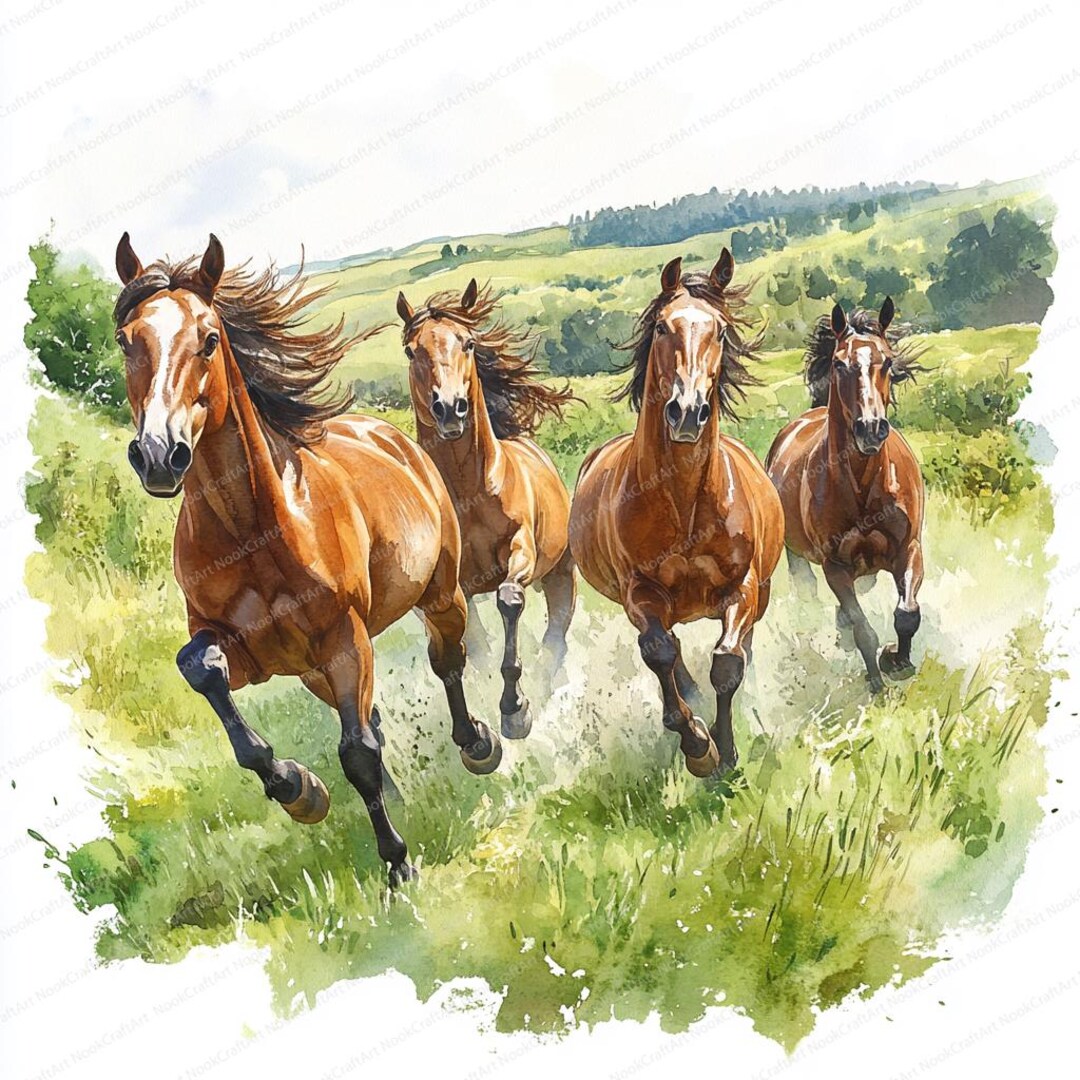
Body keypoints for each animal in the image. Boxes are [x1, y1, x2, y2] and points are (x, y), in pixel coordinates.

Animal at [113, 232, 503, 887]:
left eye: (209, 339)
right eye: (125, 339)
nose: (160, 454)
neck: (254, 530)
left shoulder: (344, 638)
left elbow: (358, 753)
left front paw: (398, 864)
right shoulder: (245, 649)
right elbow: (203, 671)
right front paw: (299, 789)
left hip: (437, 595)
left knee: (446, 662)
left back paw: (479, 745)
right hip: (314, 669)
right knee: (373, 715)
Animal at [396, 279, 576, 739]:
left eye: (469, 343)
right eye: (411, 351)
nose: (449, 407)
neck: (468, 490)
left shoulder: (519, 550)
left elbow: (509, 600)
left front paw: (515, 709)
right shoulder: (448, 586)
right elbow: (471, 645)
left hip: (561, 574)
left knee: (556, 636)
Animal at [569, 249, 784, 775]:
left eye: (721, 331)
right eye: (663, 327)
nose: (687, 412)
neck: (684, 502)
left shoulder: (742, 587)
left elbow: (727, 663)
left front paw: (725, 753)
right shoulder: (640, 593)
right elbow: (661, 653)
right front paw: (697, 744)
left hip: (762, 593)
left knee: (740, 648)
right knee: (672, 651)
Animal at [764, 299, 926, 693]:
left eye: (887, 361)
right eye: (839, 363)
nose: (871, 428)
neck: (863, 486)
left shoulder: (909, 549)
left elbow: (907, 613)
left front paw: (898, 661)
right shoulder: (835, 567)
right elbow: (863, 629)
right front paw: (878, 684)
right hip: (797, 557)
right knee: (810, 593)